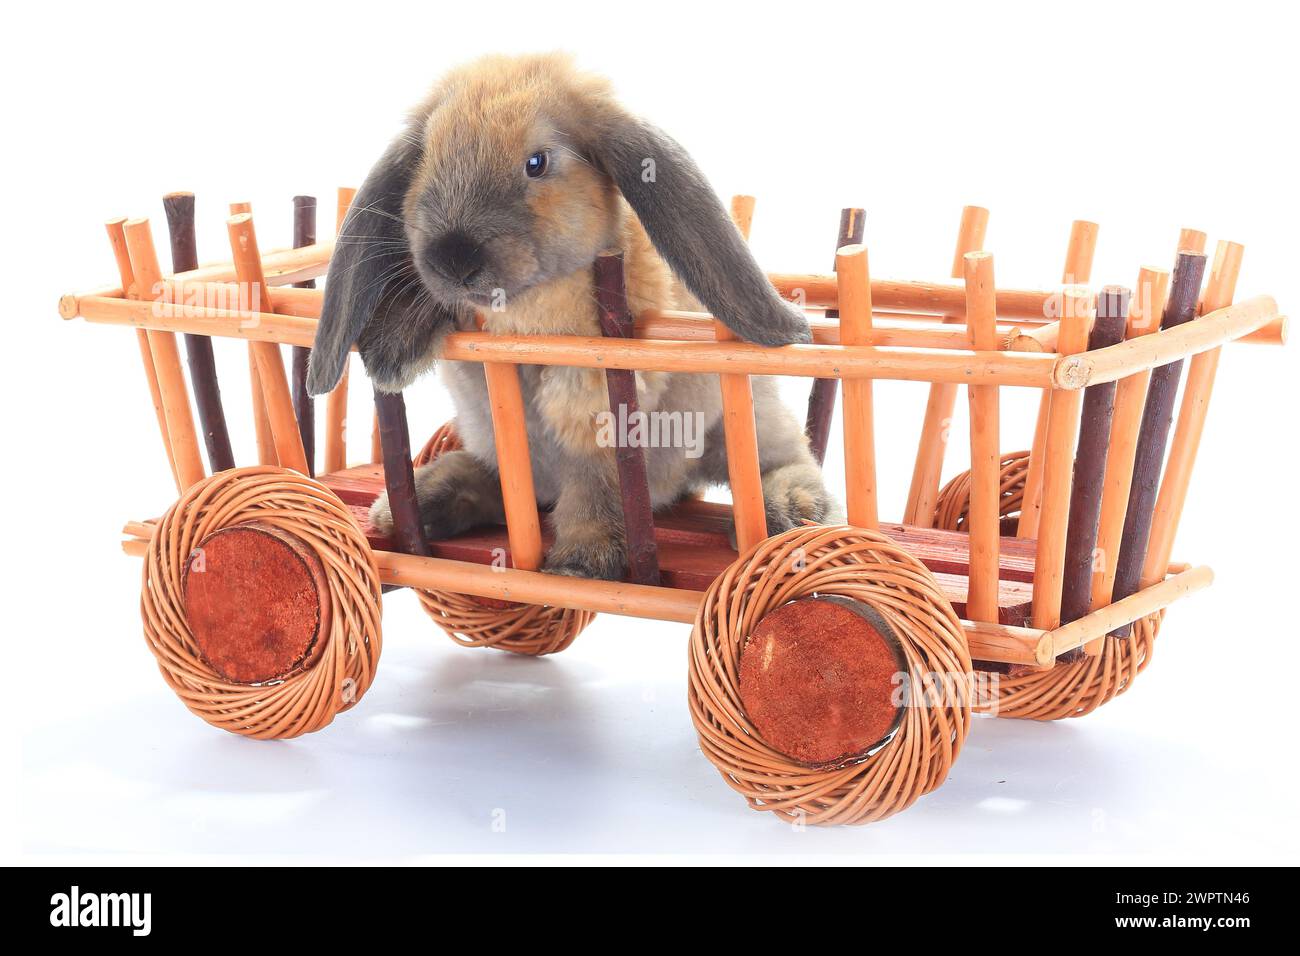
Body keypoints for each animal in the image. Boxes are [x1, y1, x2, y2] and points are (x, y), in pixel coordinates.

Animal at [307, 52, 836, 580]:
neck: (526, 311)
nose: (452, 258)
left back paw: (792, 510)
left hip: (747, 422)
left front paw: (583, 561)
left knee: (784, 462)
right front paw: (391, 348)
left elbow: (595, 485)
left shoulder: (601, 406)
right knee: (506, 488)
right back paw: (416, 503)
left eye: (537, 162)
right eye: (426, 157)